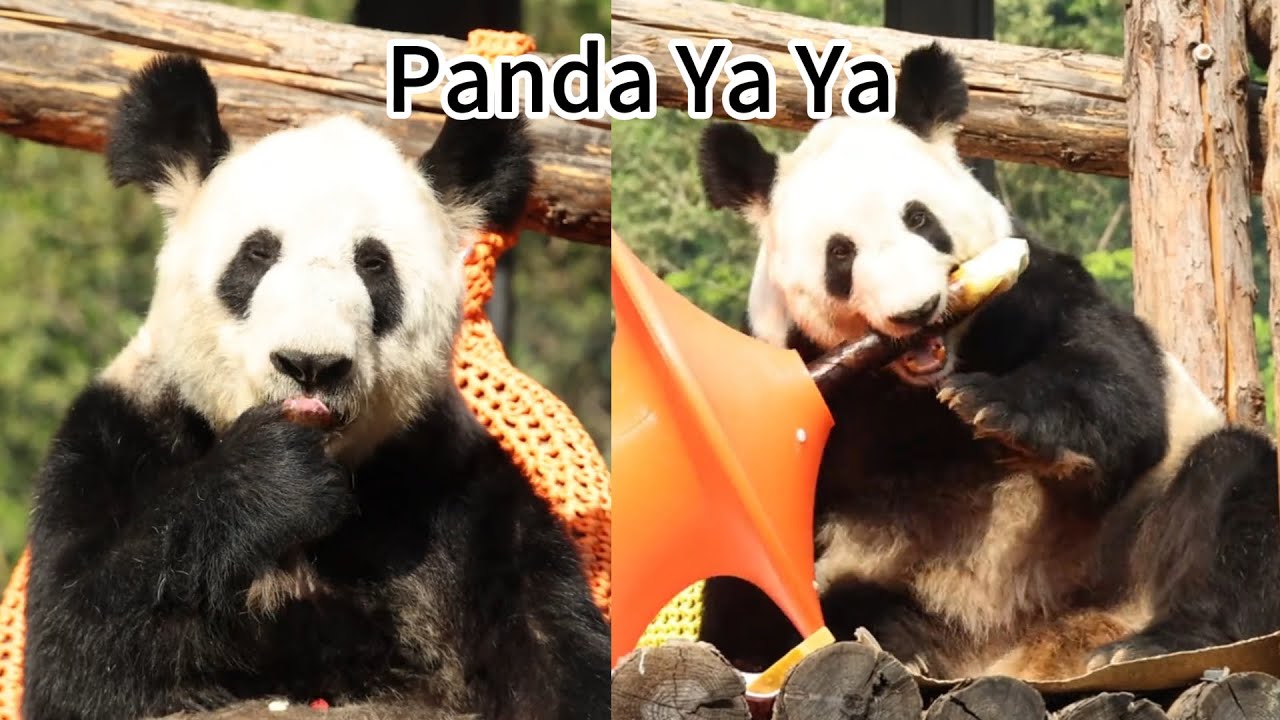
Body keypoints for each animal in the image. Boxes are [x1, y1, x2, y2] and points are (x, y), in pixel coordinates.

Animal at [22, 55, 609, 720]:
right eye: (256, 254)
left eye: (374, 264)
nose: (310, 365)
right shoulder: (118, 434)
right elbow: (79, 649)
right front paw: (271, 479)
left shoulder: (458, 492)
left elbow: (557, 651)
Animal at [695, 42, 1280, 681]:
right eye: (840, 254)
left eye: (919, 219)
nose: (916, 311)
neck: (913, 387)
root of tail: (1018, 652)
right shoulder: (785, 370)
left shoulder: (1030, 290)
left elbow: (1116, 383)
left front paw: (999, 413)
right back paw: (893, 638)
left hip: (1129, 542)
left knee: (1232, 492)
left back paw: (1157, 642)